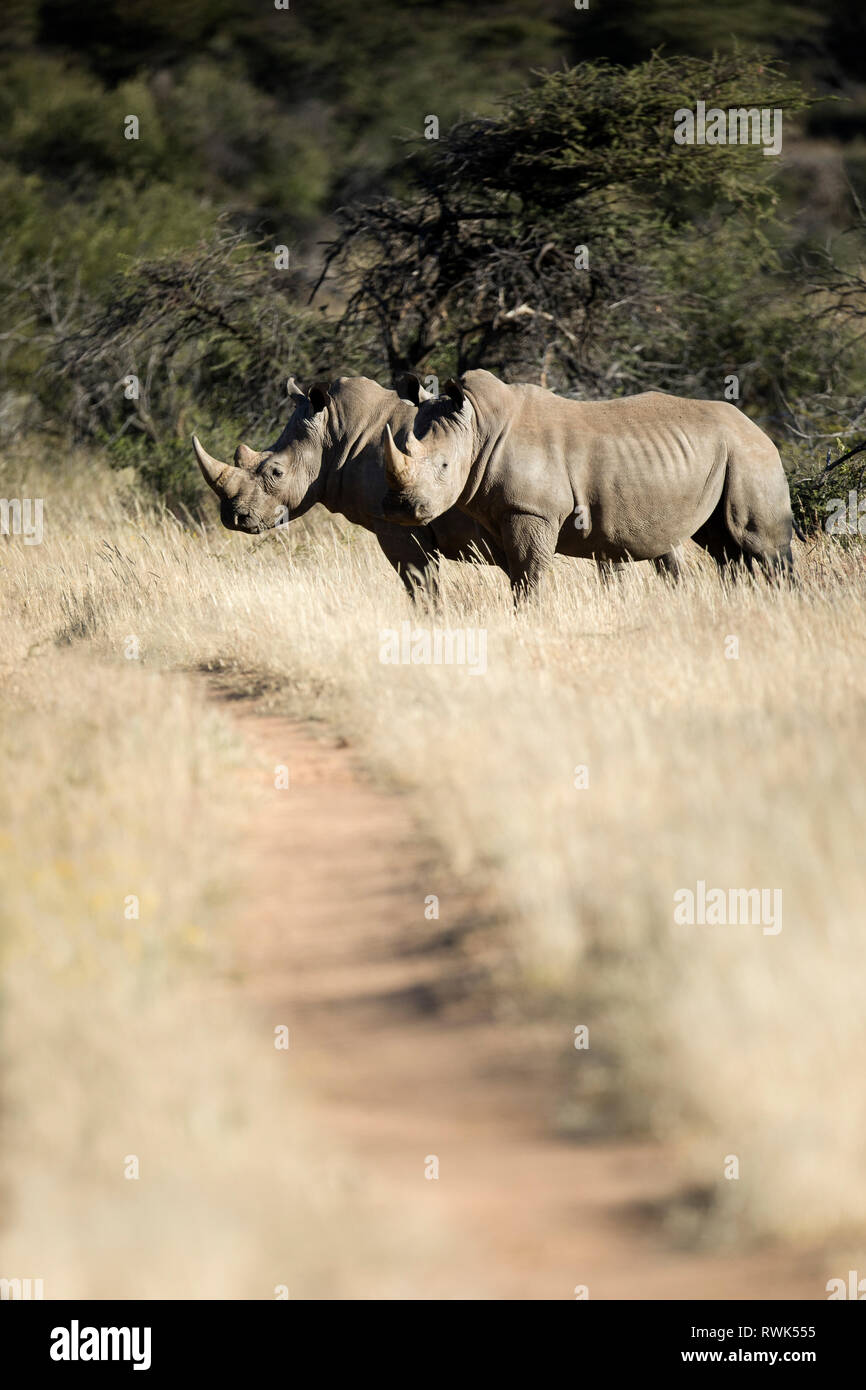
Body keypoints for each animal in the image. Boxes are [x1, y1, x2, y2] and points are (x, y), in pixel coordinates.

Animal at [381, 369, 795, 600]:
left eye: (445, 466)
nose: (402, 510)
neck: (479, 426)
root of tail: (757, 426)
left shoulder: (532, 511)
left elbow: (529, 575)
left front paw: (530, 618)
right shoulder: (500, 513)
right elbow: (515, 574)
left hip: (749, 453)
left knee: (760, 543)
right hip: (727, 453)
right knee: (723, 546)